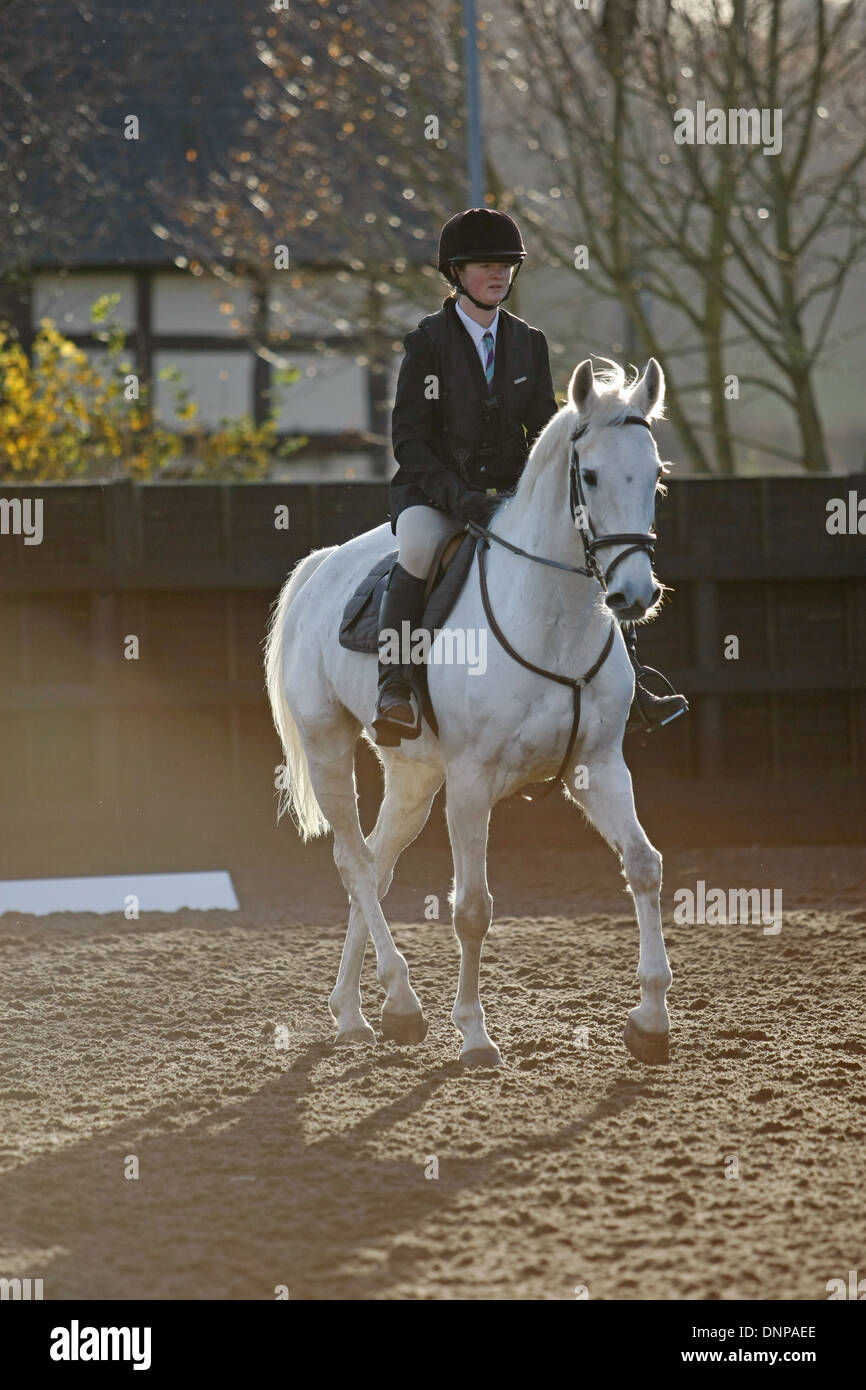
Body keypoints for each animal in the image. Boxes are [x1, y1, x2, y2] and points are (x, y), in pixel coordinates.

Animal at [264, 356, 674, 1067]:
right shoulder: (472, 784)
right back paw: (401, 1005)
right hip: (327, 746)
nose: (633, 594)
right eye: (590, 476)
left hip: (414, 777)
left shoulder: (599, 767)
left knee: (377, 862)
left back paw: (354, 1013)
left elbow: (643, 867)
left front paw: (650, 1021)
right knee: (354, 862)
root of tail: (320, 567)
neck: (554, 618)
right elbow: (472, 908)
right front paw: (475, 1036)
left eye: (654, 476)